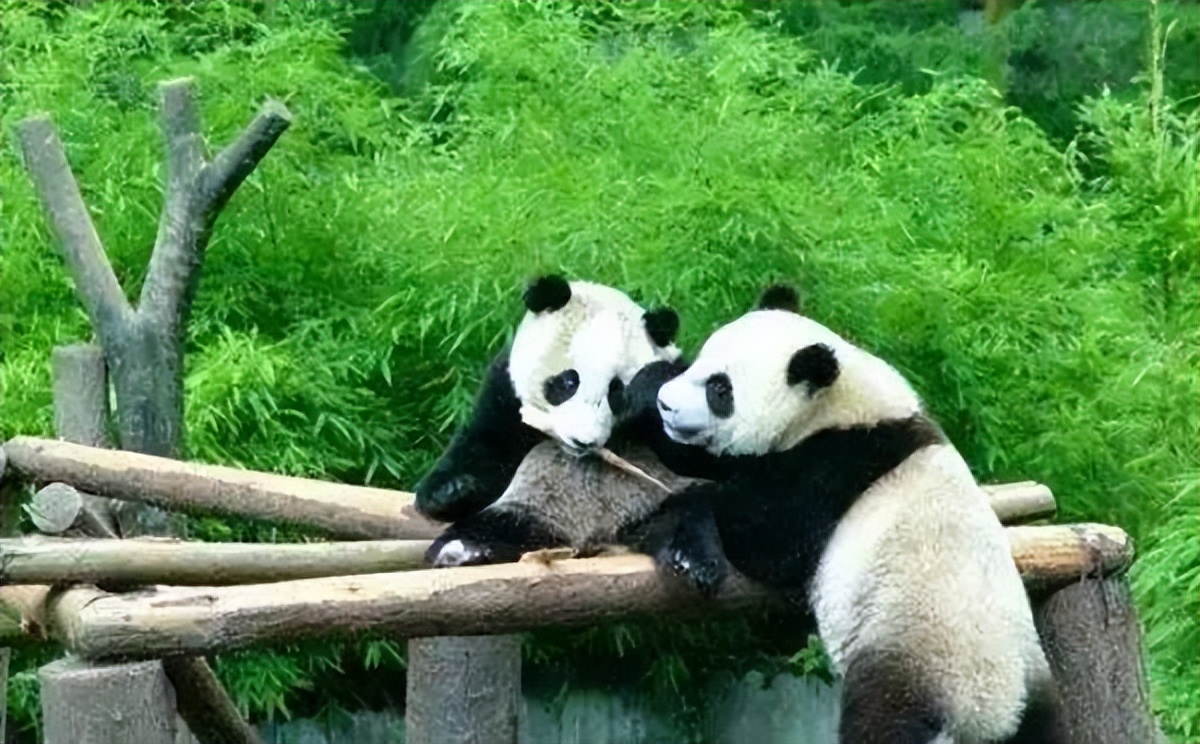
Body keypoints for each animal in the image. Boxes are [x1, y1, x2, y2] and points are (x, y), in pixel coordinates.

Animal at [416, 274, 710, 565]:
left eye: (615, 390)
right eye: (569, 381)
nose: (584, 441)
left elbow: (694, 455)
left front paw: (650, 384)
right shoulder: (505, 395)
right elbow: (486, 447)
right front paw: (452, 491)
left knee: (701, 506)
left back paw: (690, 555)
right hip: (539, 509)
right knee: (503, 523)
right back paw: (462, 549)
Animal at [646, 285, 1066, 744]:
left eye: (720, 390)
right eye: (702, 358)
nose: (667, 406)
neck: (840, 402)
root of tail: (988, 714)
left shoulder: (838, 464)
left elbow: (768, 539)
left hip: (907, 666)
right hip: (1036, 697)